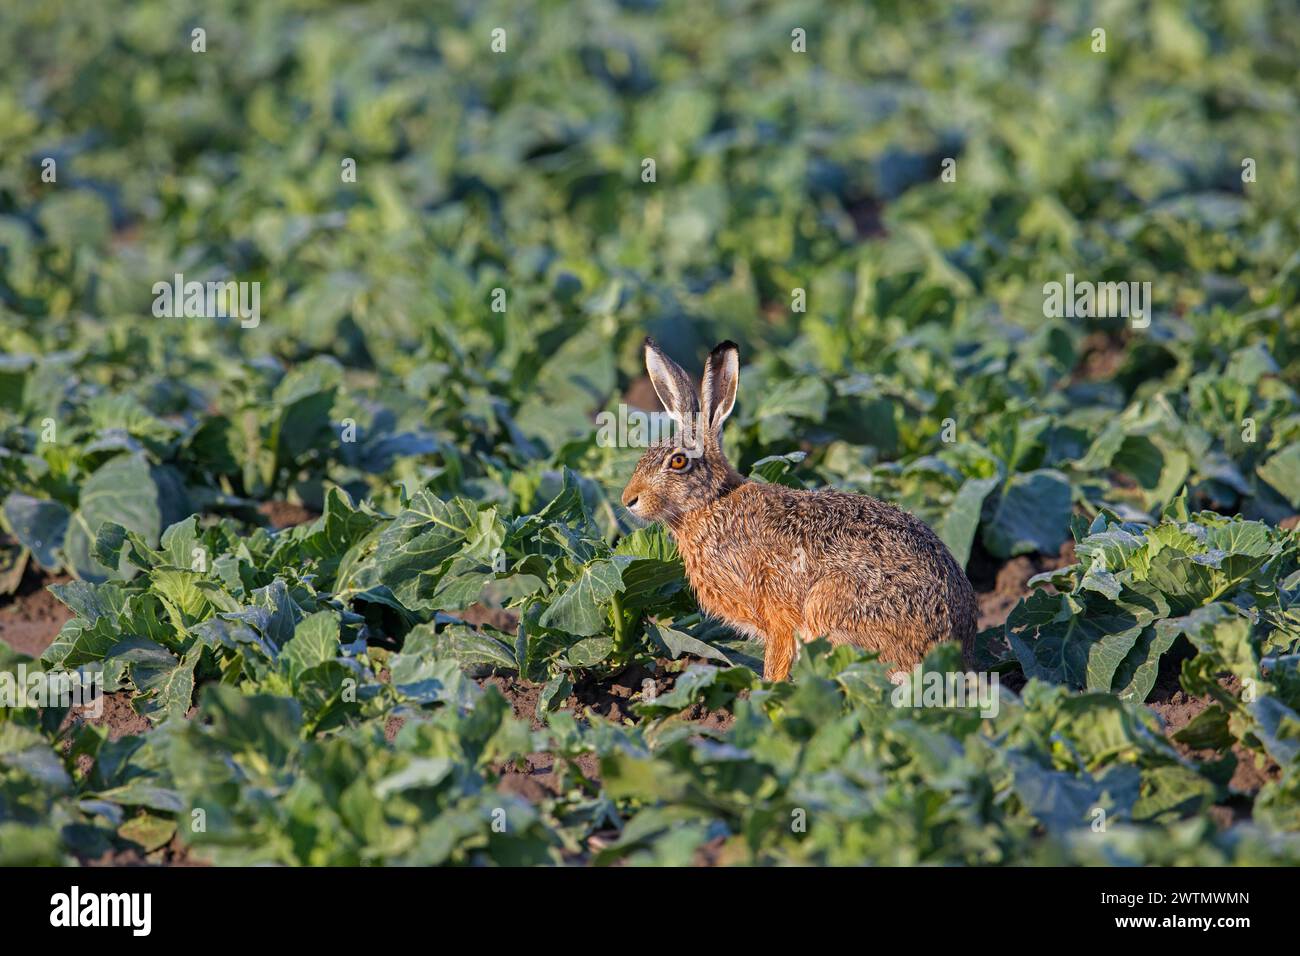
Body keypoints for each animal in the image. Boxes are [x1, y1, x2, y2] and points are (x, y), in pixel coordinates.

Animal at [620, 337, 978, 682]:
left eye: (679, 461)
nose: (628, 499)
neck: (712, 502)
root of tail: (953, 643)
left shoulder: (777, 613)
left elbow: (777, 658)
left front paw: (768, 689)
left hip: (830, 605)